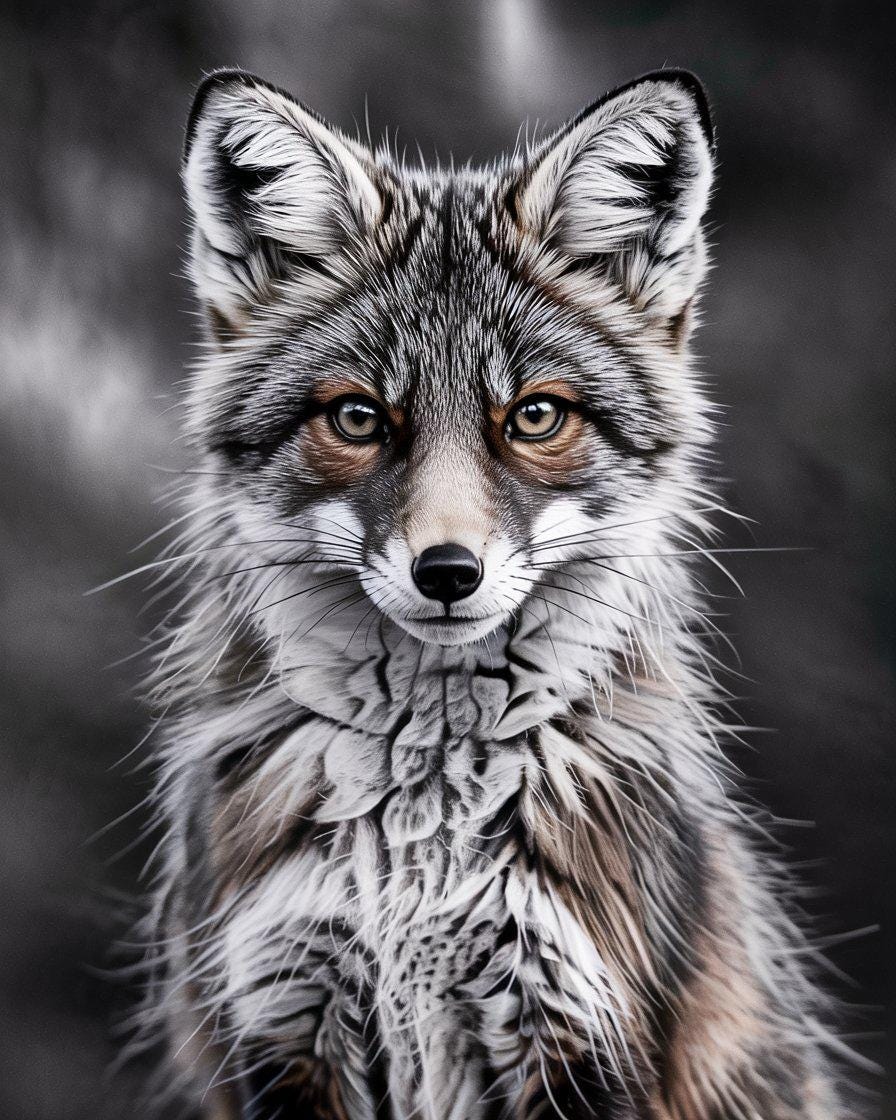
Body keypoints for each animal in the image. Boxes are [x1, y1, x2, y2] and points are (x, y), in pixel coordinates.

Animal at [139, 68, 843, 1118]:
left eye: (535, 416)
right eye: (359, 418)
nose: (447, 574)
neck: (418, 863)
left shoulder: (576, 1032)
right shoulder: (282, 1019)